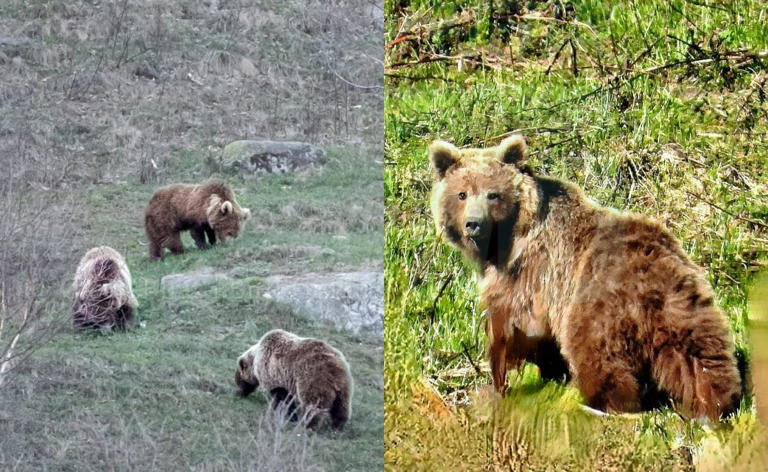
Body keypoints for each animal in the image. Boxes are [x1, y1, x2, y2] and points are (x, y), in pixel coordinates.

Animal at [429, 134, 741, 421]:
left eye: (492, 194)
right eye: (462, 194)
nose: (474, 224)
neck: (507, 238)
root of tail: (648, 276)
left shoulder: (529, 271)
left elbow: (514, 326)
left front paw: (500, 382)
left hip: (595, 304)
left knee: (596, 356)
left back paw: (598, 401)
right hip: (682, 303)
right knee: (700, 354)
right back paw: (712, 404)